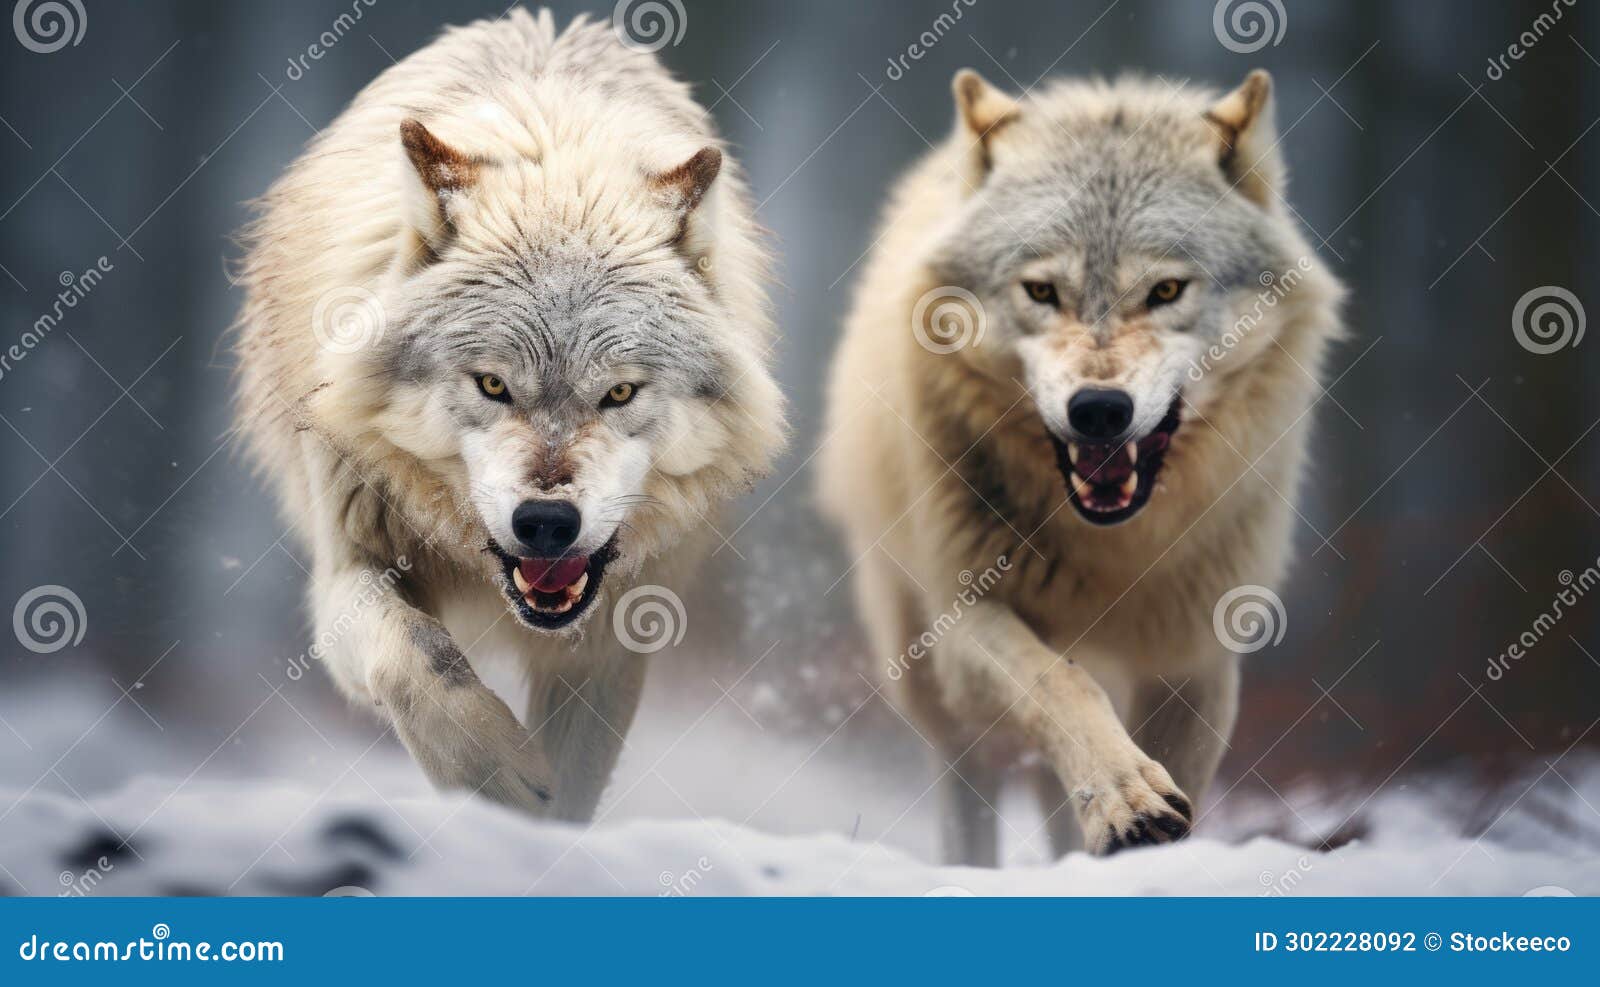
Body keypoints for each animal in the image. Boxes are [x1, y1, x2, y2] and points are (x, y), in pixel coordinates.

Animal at [234, 10, 783, 821]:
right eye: (493, 384)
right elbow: (418, 657)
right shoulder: (347, 569)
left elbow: (576, 782)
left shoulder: (613, 634)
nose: (547, 523)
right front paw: (497, 778)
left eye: (619, 393)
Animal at [819, 68, 1344, 862]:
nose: (1099, 409)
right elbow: (1059, 685)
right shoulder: (965, 615)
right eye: (1041, 291)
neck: (1111, 554)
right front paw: (1127, 802)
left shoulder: (1195, 658)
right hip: (927, 681)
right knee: (973, 781)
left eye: (1165, 290)